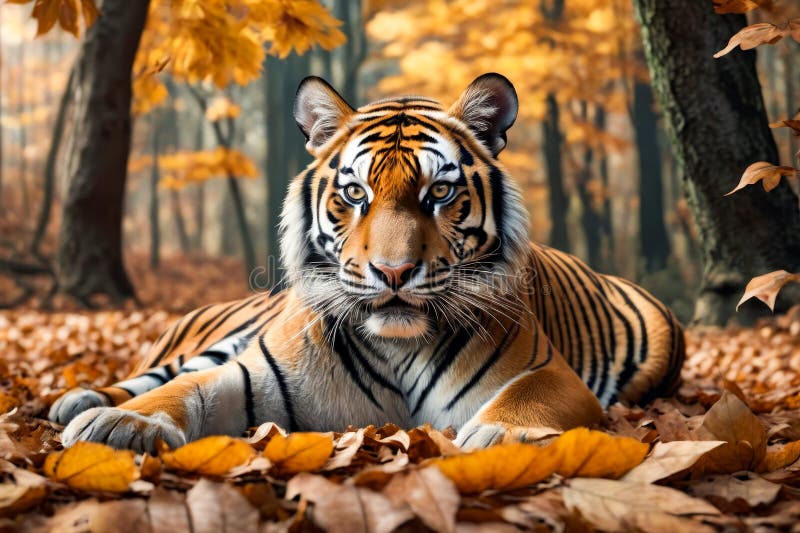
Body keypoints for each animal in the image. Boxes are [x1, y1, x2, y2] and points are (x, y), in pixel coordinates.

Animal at [50, 73, 685, 453]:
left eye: (439, 193)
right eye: (356, 193)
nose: (394, 273)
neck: (397, 347)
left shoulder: (552, 375)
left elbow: (523, 402)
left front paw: (493, 440)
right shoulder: (253, 371)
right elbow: (185, 389)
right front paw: (122, 424)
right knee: (159, 371)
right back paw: (79, 400)